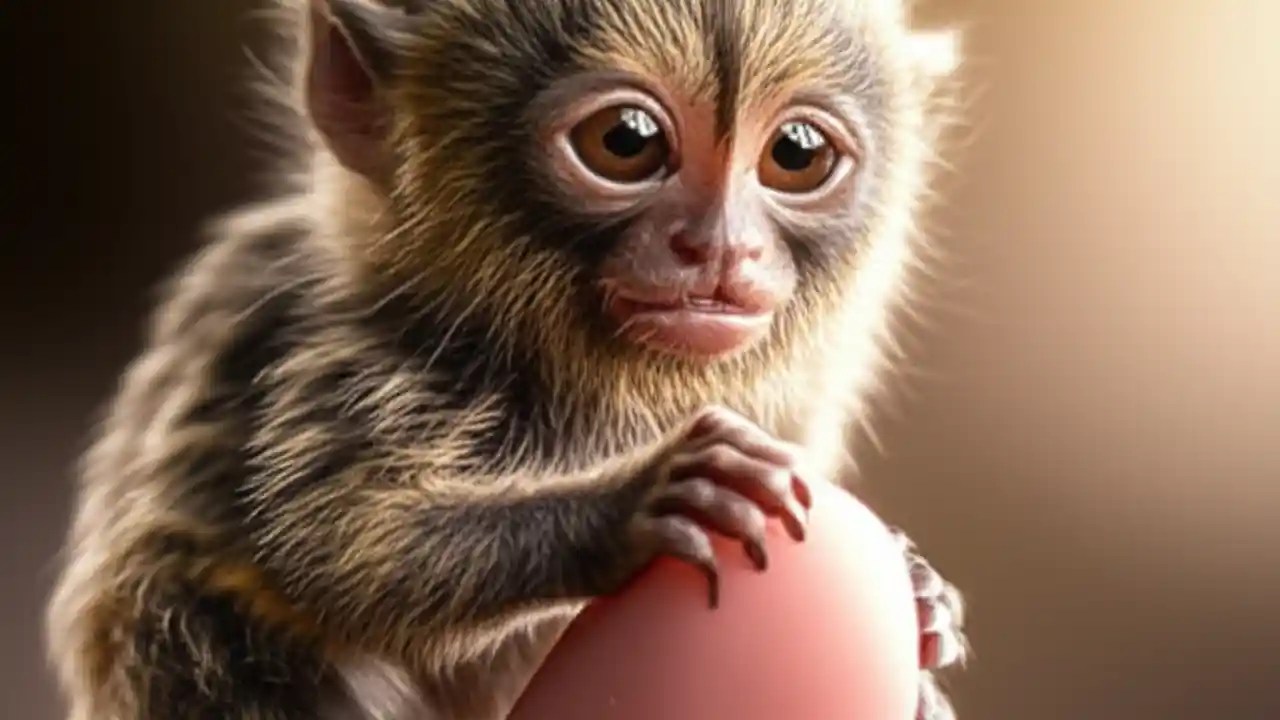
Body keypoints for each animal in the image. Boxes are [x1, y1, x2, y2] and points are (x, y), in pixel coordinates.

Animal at [44, 0, 968, 718]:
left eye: (796, 154)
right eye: (626, 141)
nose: (718, 248)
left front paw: (922, 601)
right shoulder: (348, 355)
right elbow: (328, 542)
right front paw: (637, 505)